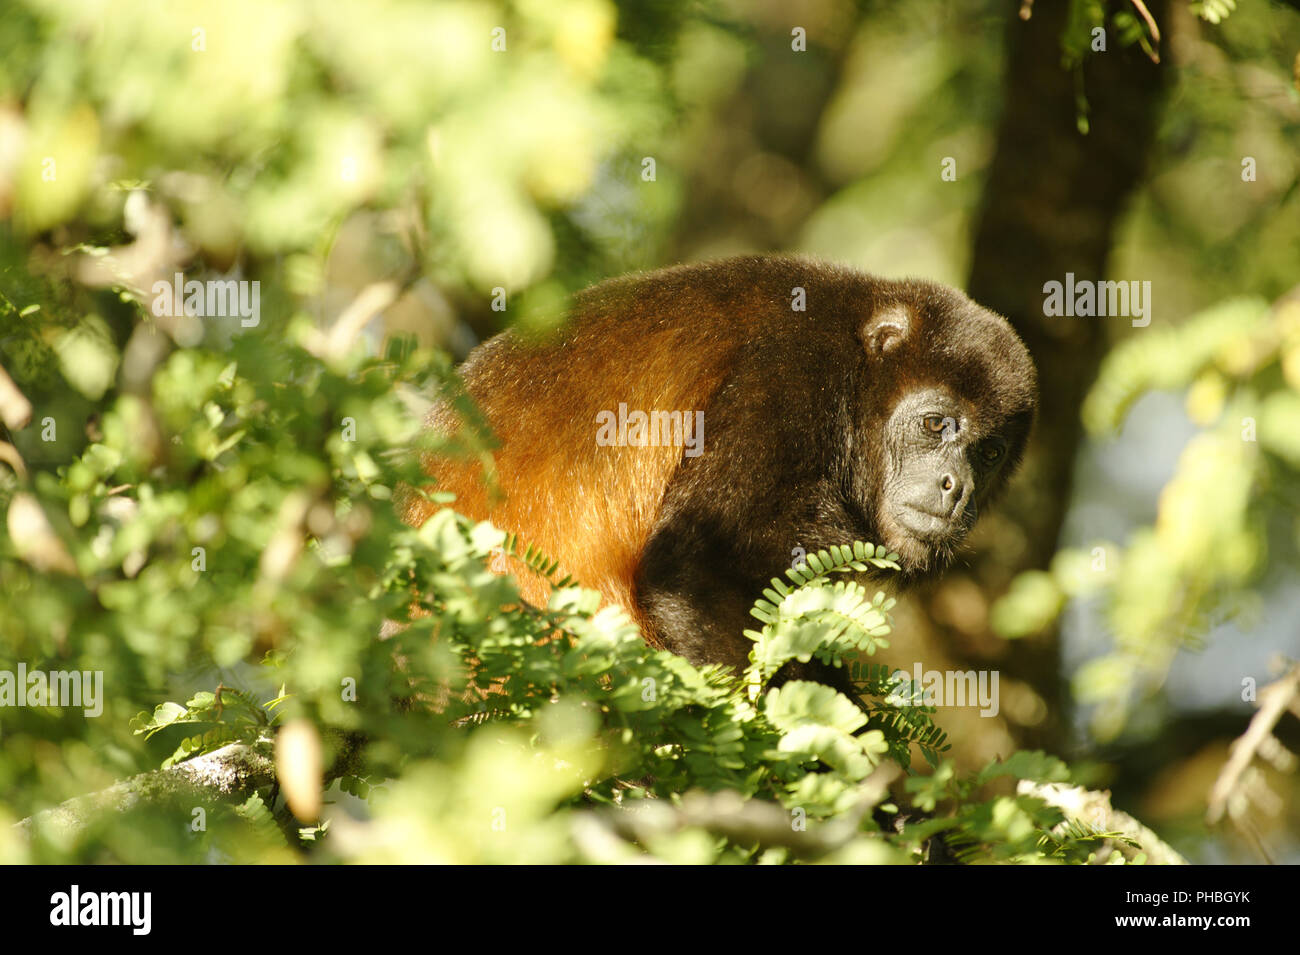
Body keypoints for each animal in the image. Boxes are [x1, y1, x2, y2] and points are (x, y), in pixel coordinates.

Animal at [401, 255, 1037, 696]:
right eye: (935, 423)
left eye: (988, 453)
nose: (958, 487)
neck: (857, 370)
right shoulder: (789, 374)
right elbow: (690, 568)